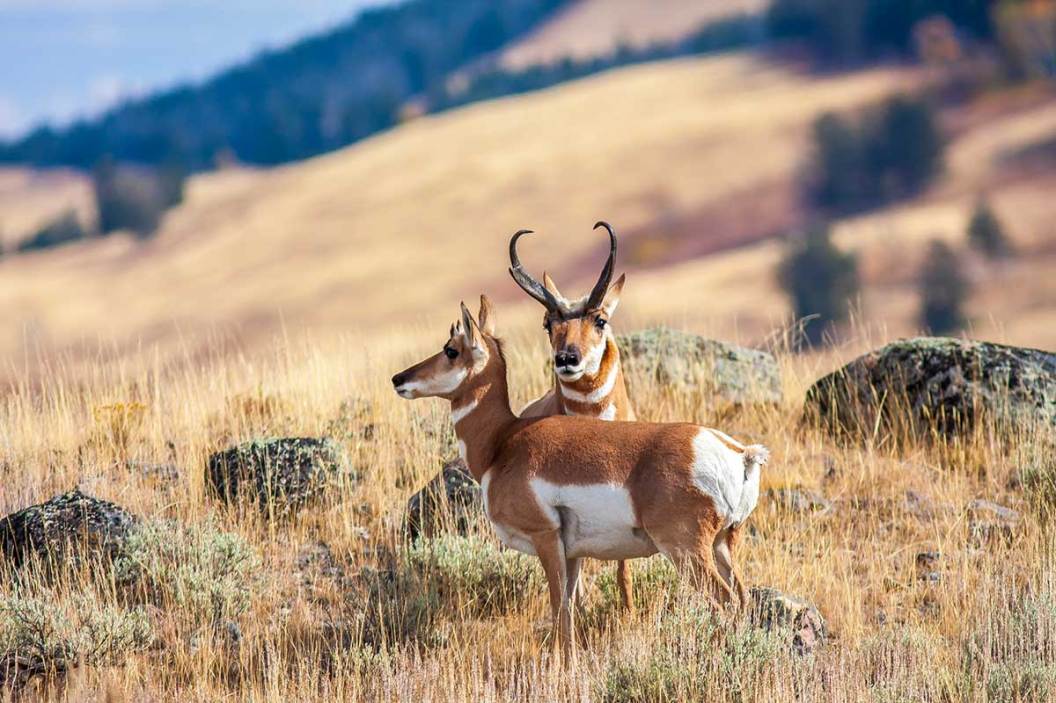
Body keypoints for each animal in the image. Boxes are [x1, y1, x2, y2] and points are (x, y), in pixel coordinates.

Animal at [391, 296, 767, 658]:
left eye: (451, 349)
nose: (398, 379)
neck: (503, 442)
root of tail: (737, 451)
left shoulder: (546, 539)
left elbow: (559, 609)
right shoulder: (572, 555)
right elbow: (570, 611)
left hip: (685, 551)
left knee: (725, 600)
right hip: (723, 545)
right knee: (743, 597)